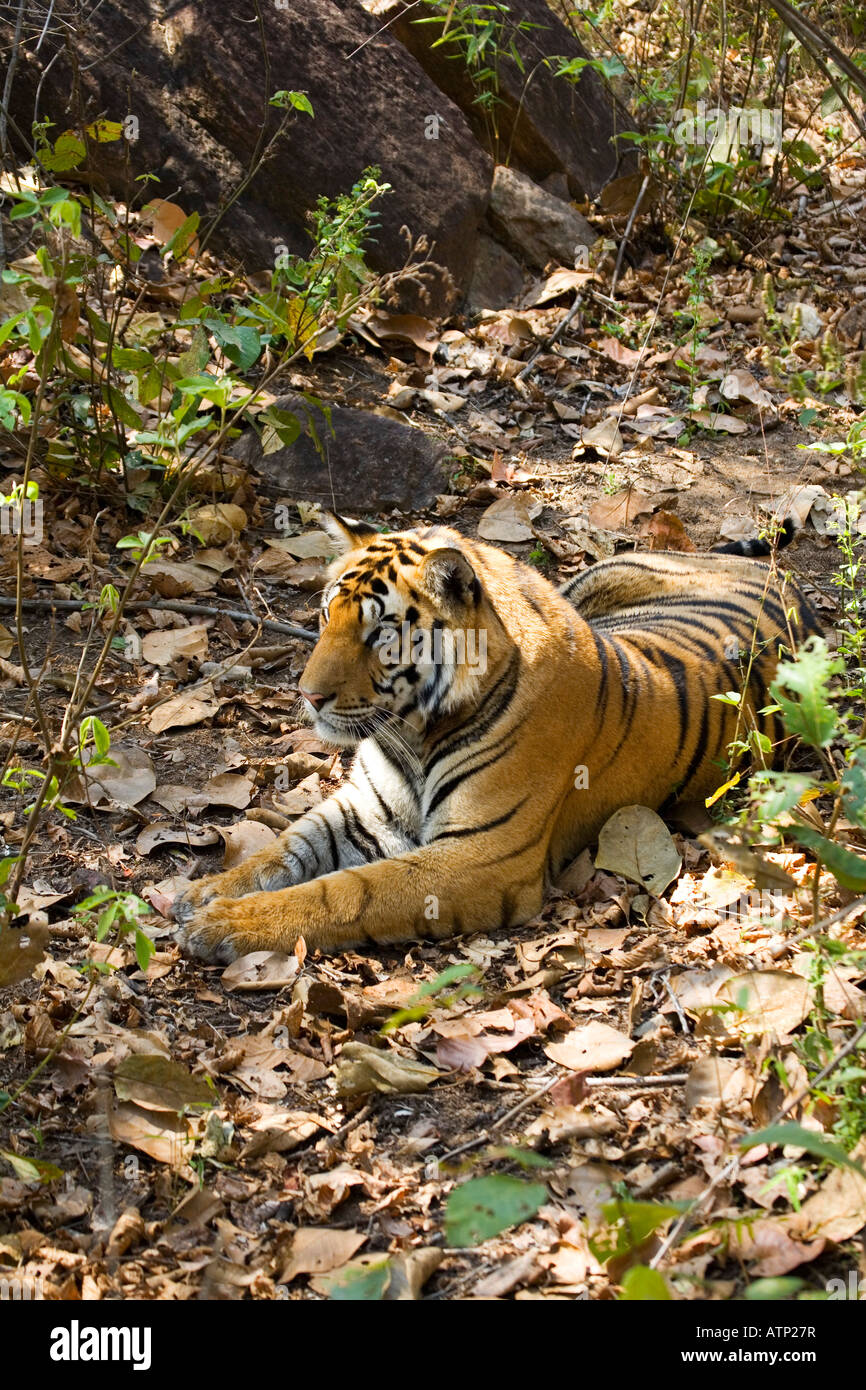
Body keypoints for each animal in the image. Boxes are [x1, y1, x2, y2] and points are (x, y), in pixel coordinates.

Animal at [173, 511, 820, 963]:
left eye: (379, 632)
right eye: (328, 612)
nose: (308, 695)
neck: (411, 733)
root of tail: (779, 578)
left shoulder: (482, 856)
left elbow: (349, 891)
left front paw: (227, 924)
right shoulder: (364, 810)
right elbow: (287, 849)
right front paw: (204, 893)